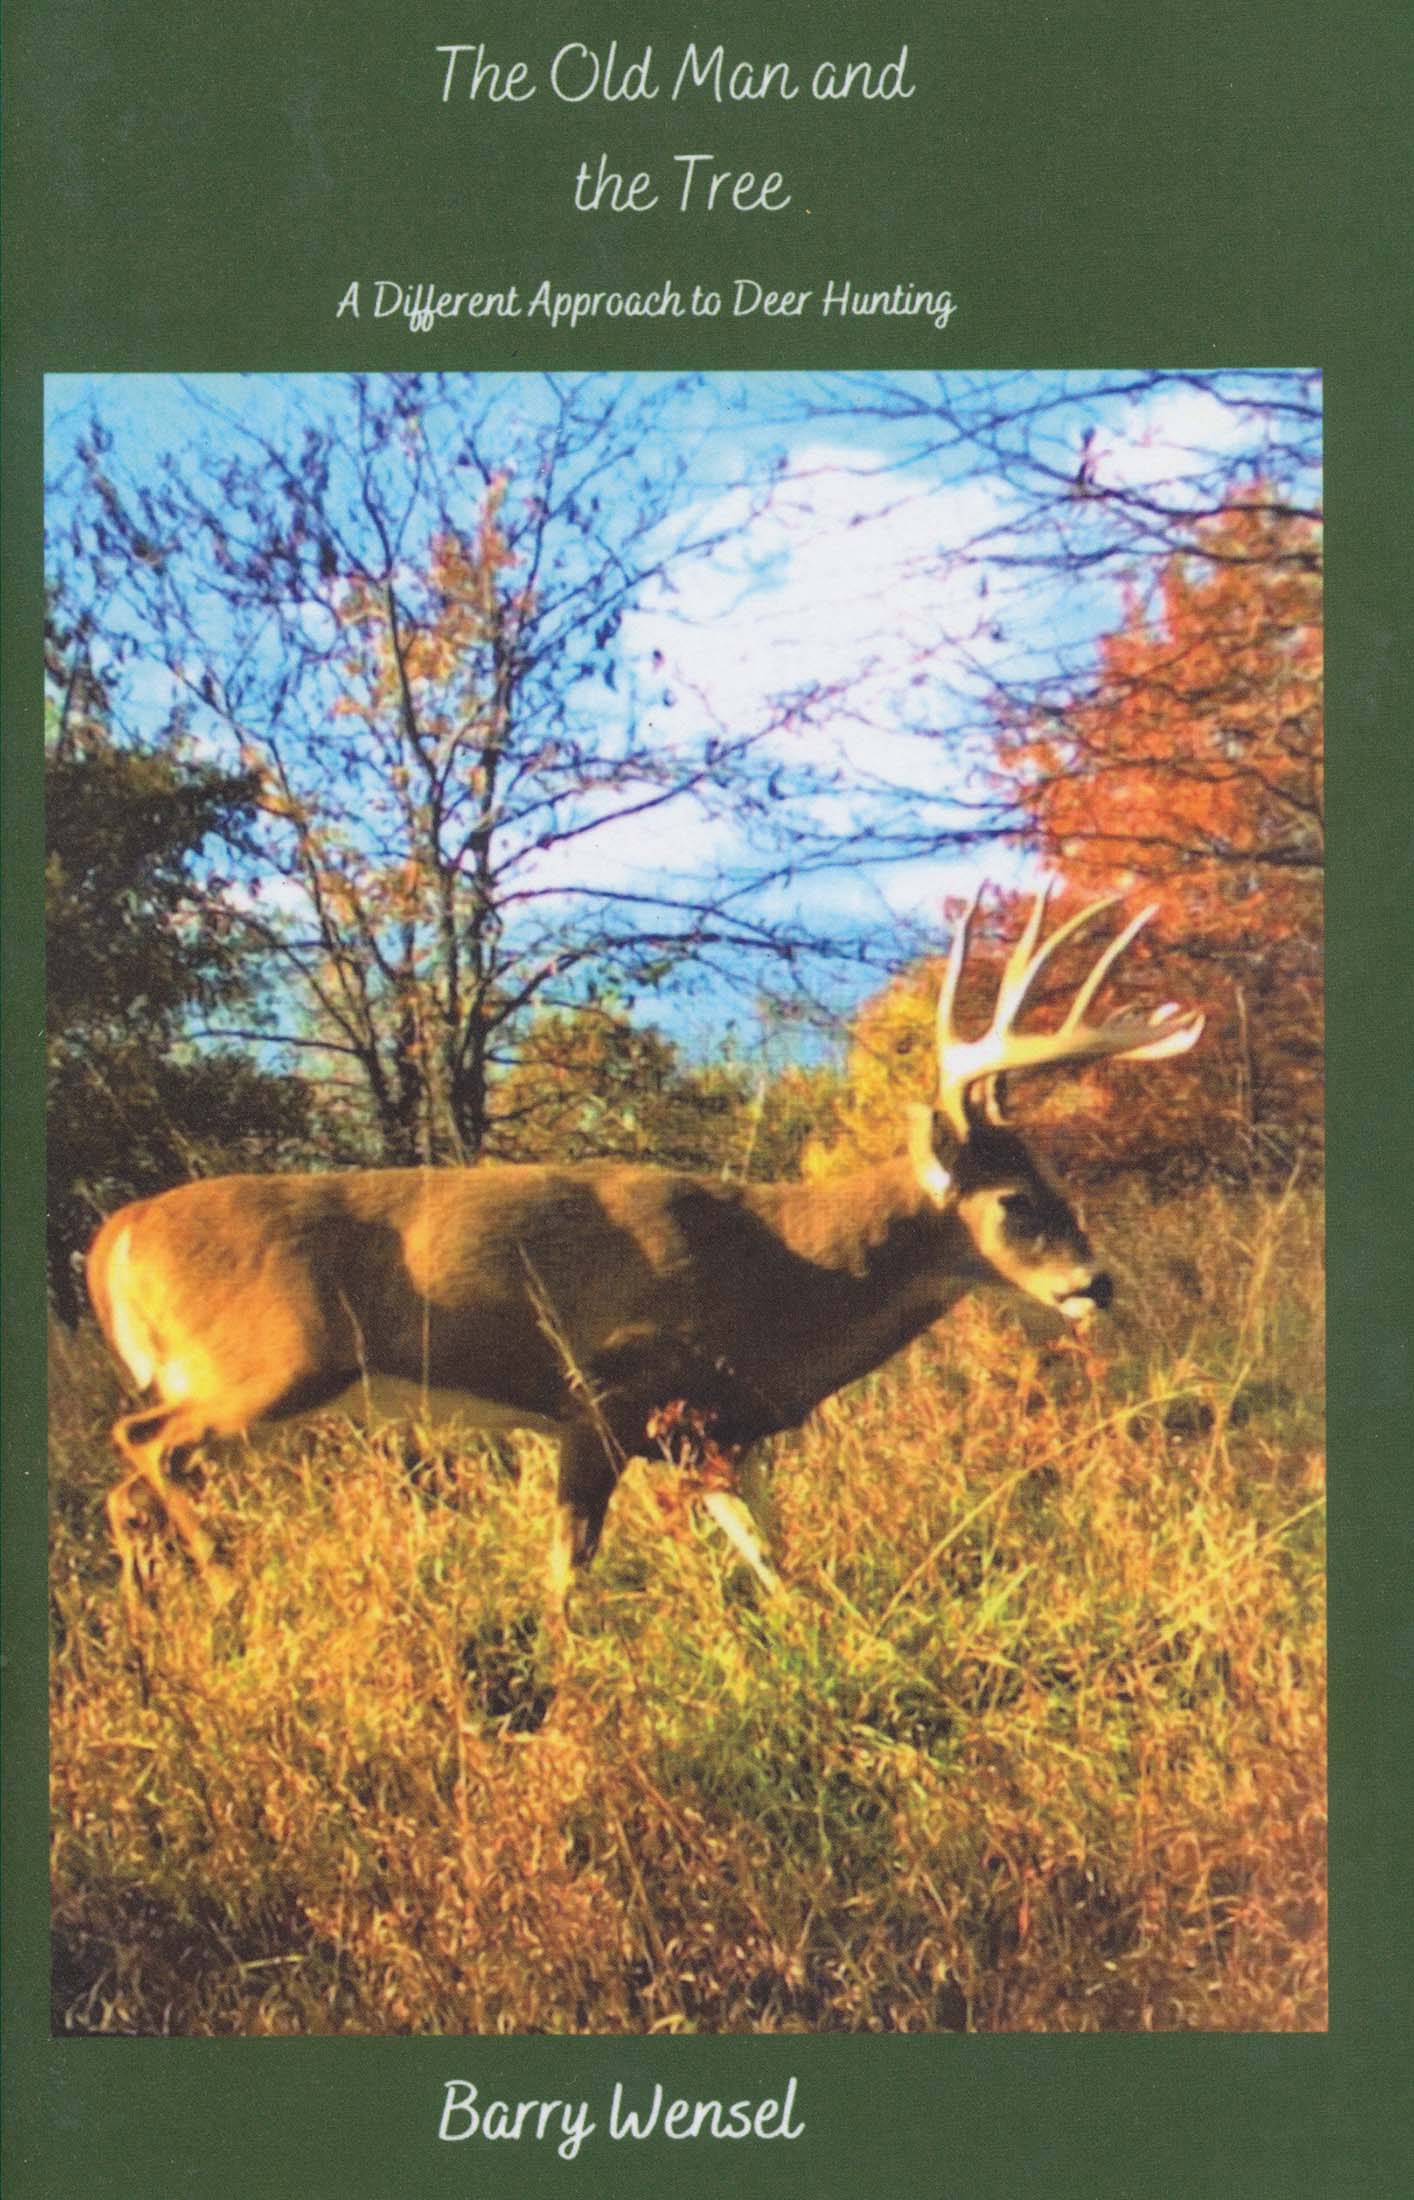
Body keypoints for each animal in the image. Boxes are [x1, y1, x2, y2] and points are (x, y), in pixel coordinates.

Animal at [86, 887, 1202, 1621]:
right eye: (1014, 1199)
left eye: (1059, 1179)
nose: (1096, 1282)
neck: (780, 1280)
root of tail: (114, 1238)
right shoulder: (600, 1397)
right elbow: (563, 1573)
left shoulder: (717, 1431)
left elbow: (769, 1559)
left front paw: (815, 1635)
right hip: (271, 1361)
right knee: (143, 1442)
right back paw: (224, 1572)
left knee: (124, 1480)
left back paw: (162, 1614)